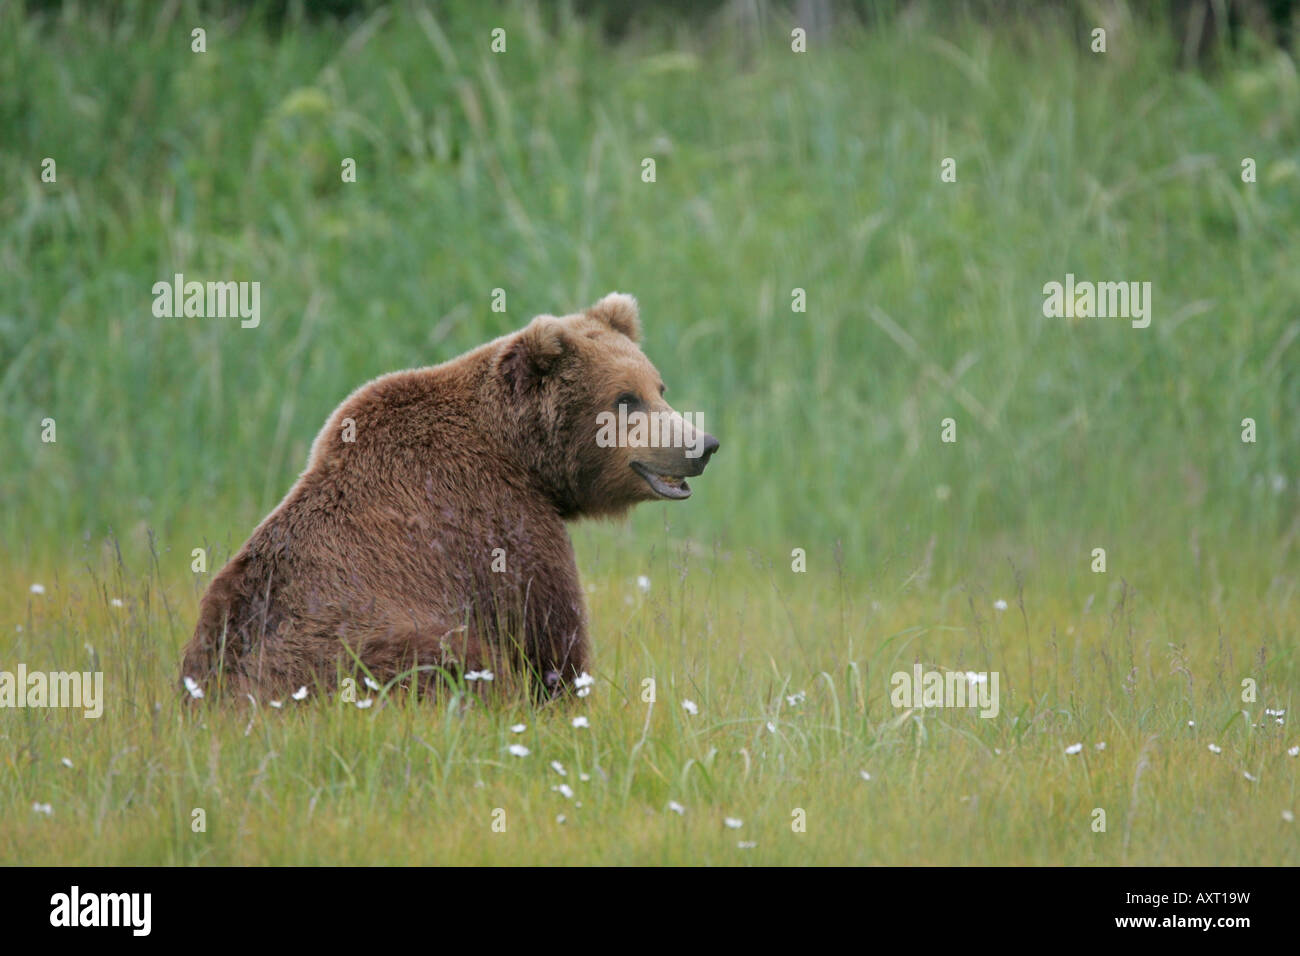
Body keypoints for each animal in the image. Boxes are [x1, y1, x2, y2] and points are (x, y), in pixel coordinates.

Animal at [179, 293, 718, 702]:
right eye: (625, 398)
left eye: (660, 387)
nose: (702, 444)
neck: (521, 455)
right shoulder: (497, 522)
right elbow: (546, 634)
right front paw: (566, 696)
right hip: (352, 647)